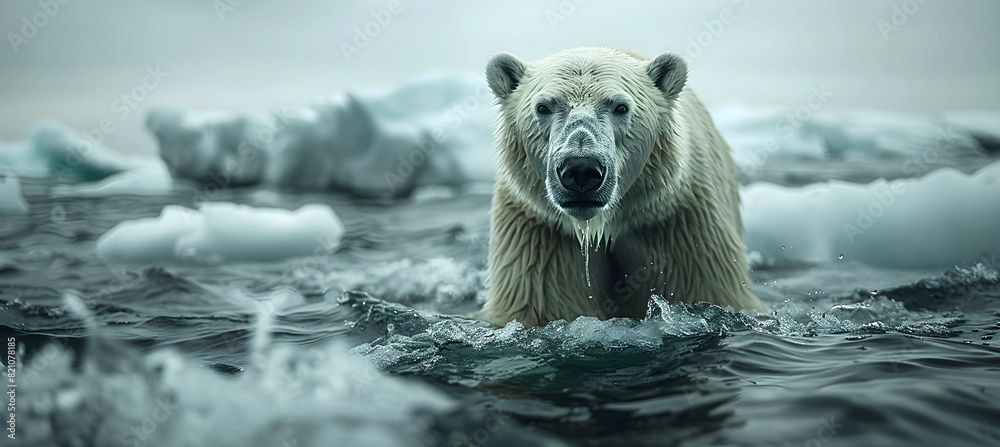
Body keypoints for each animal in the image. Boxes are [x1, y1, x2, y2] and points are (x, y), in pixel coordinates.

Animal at [478, 47, 766, 328]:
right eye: (543, 107)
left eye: (620, 106)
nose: (581, 169)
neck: (601, 226)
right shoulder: (539, 234)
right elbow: (541, 303)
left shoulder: (679, 227)